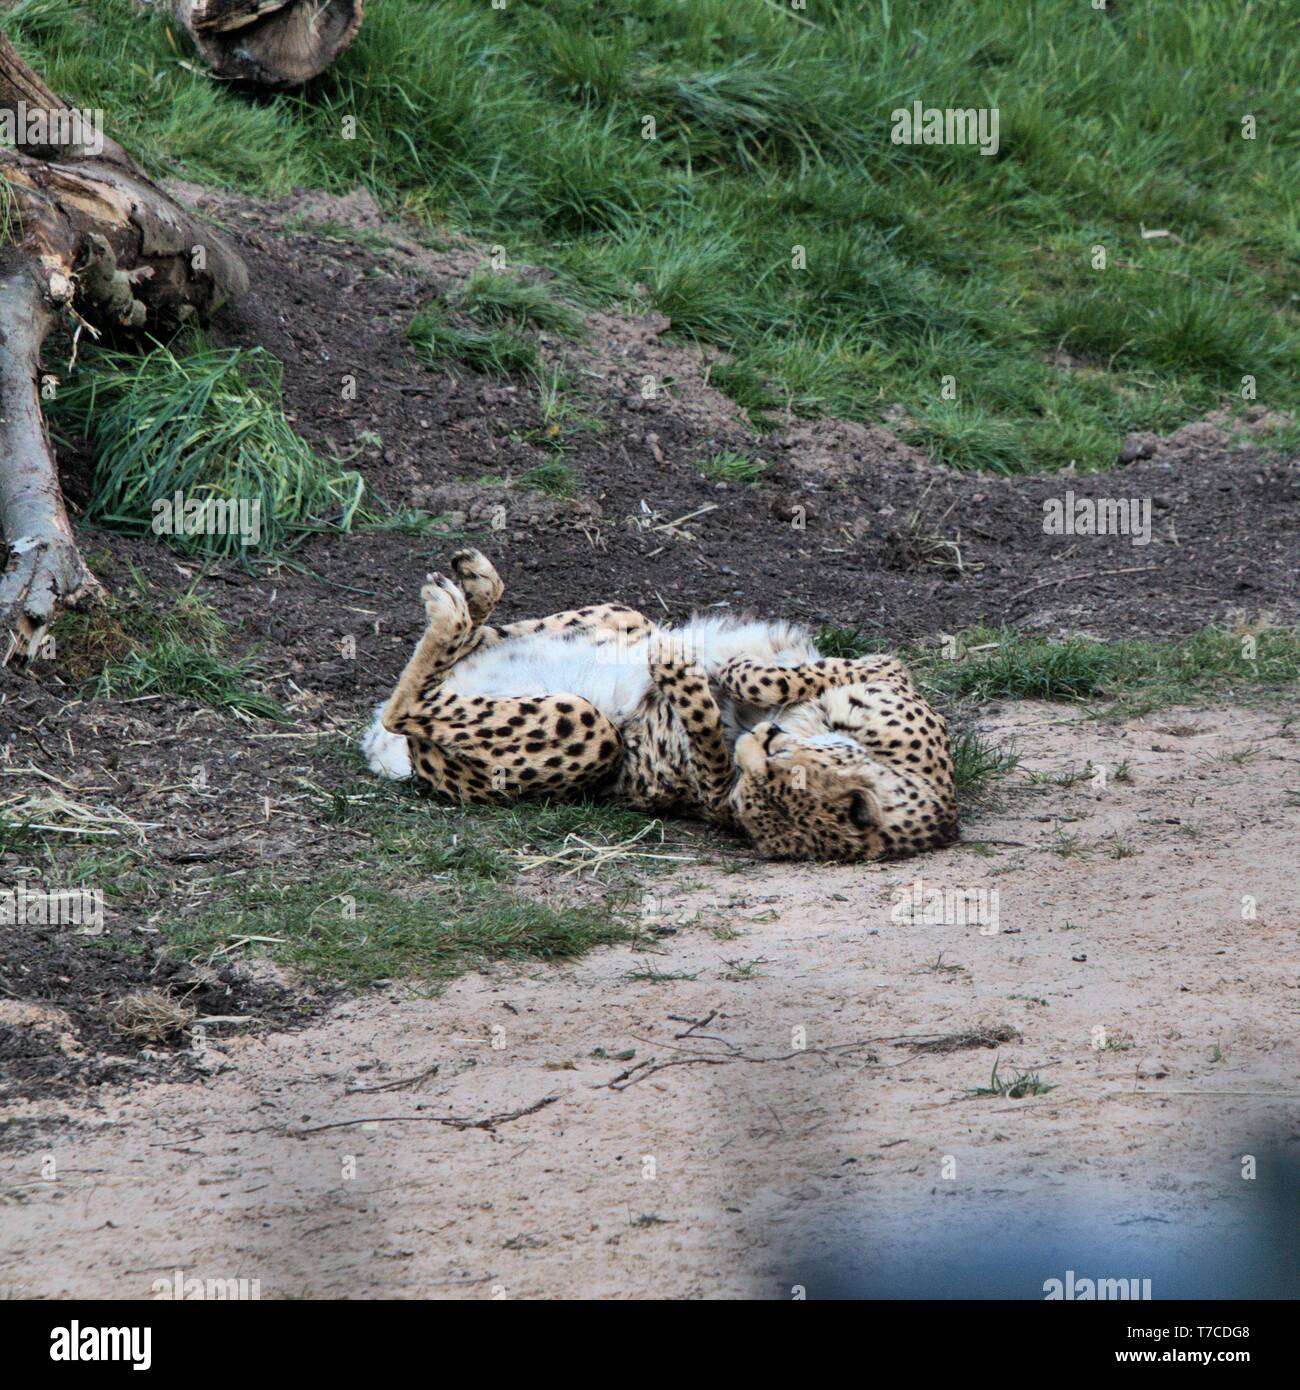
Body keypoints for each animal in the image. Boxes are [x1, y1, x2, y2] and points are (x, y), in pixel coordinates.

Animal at [363, 548, 958, 861]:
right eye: (783, 770)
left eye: (770, 790)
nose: (758, 743)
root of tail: (388, 754)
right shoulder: (884, 668)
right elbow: (780, 675)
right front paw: (724, 670)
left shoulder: (708, 794)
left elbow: (707, 731)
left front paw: (685, 673)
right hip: (623, 615)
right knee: (478, 640)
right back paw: (475, 586)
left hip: (586, 733)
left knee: (409, 705)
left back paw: (452, 609)